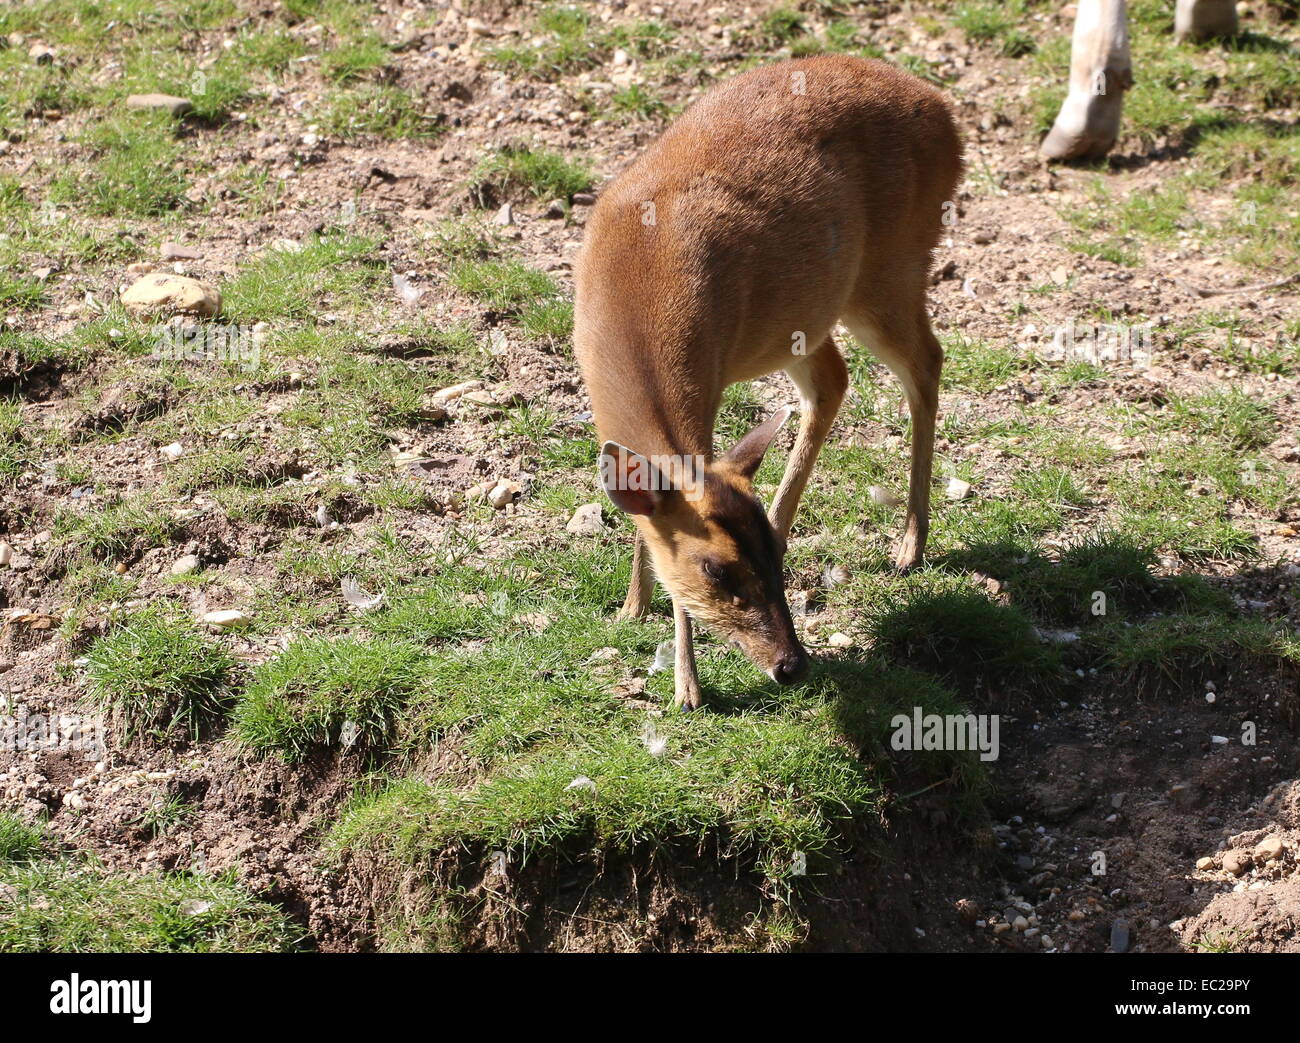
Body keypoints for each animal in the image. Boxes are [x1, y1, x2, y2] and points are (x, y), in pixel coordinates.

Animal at [574, 55, 963, 710]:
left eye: (773, 561)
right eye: (716, 569)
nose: (791, 664)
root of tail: (945, 113)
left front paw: (687, 688)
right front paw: (632, 606)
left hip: (892, 266)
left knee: (925, 362)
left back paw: (909, 546)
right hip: (809, 316)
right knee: (836, 379)